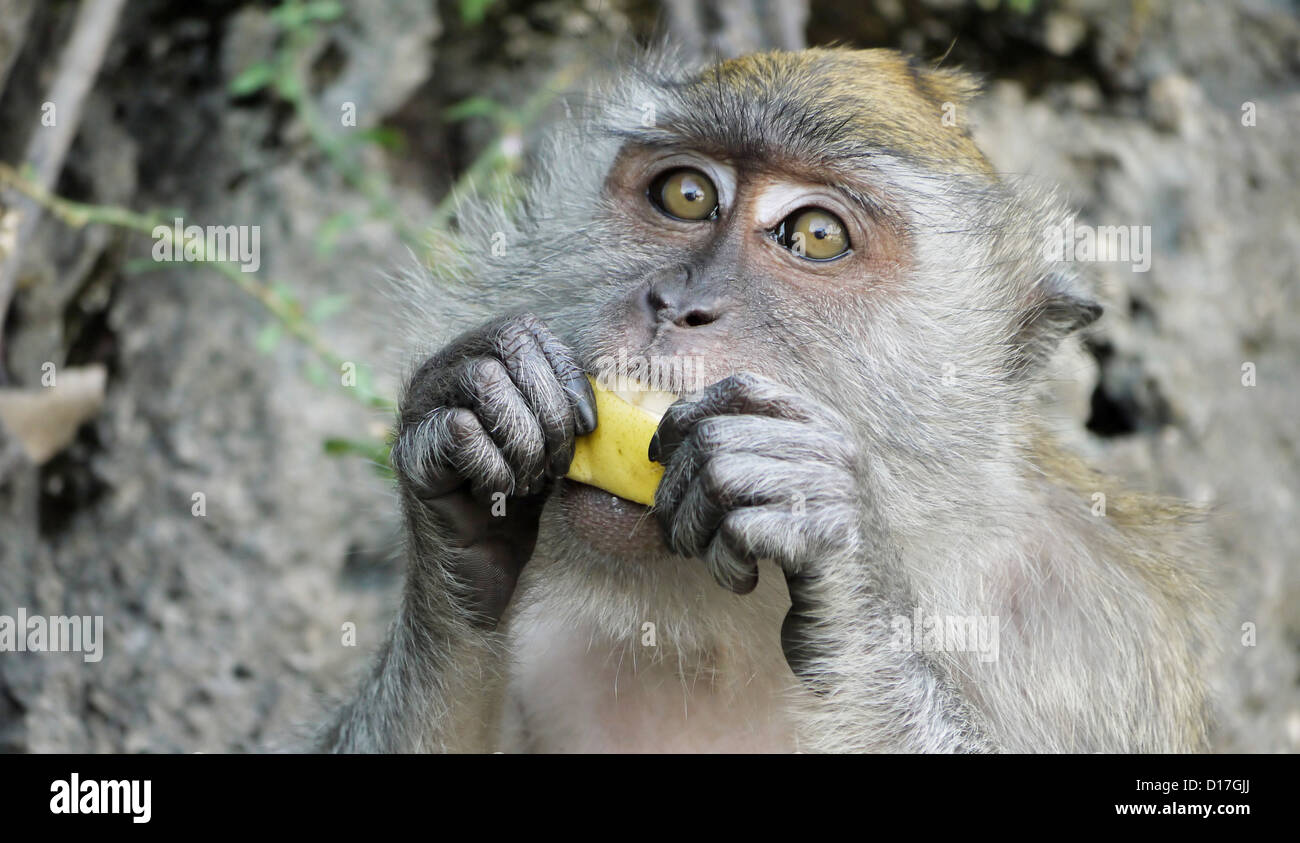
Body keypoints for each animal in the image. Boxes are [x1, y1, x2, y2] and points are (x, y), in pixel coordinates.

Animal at [318, 47, 1216, 753]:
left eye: (816, 235)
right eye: (686, 194)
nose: (677, 304)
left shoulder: (1096, 625)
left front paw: (821, 530)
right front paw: (469, 446)